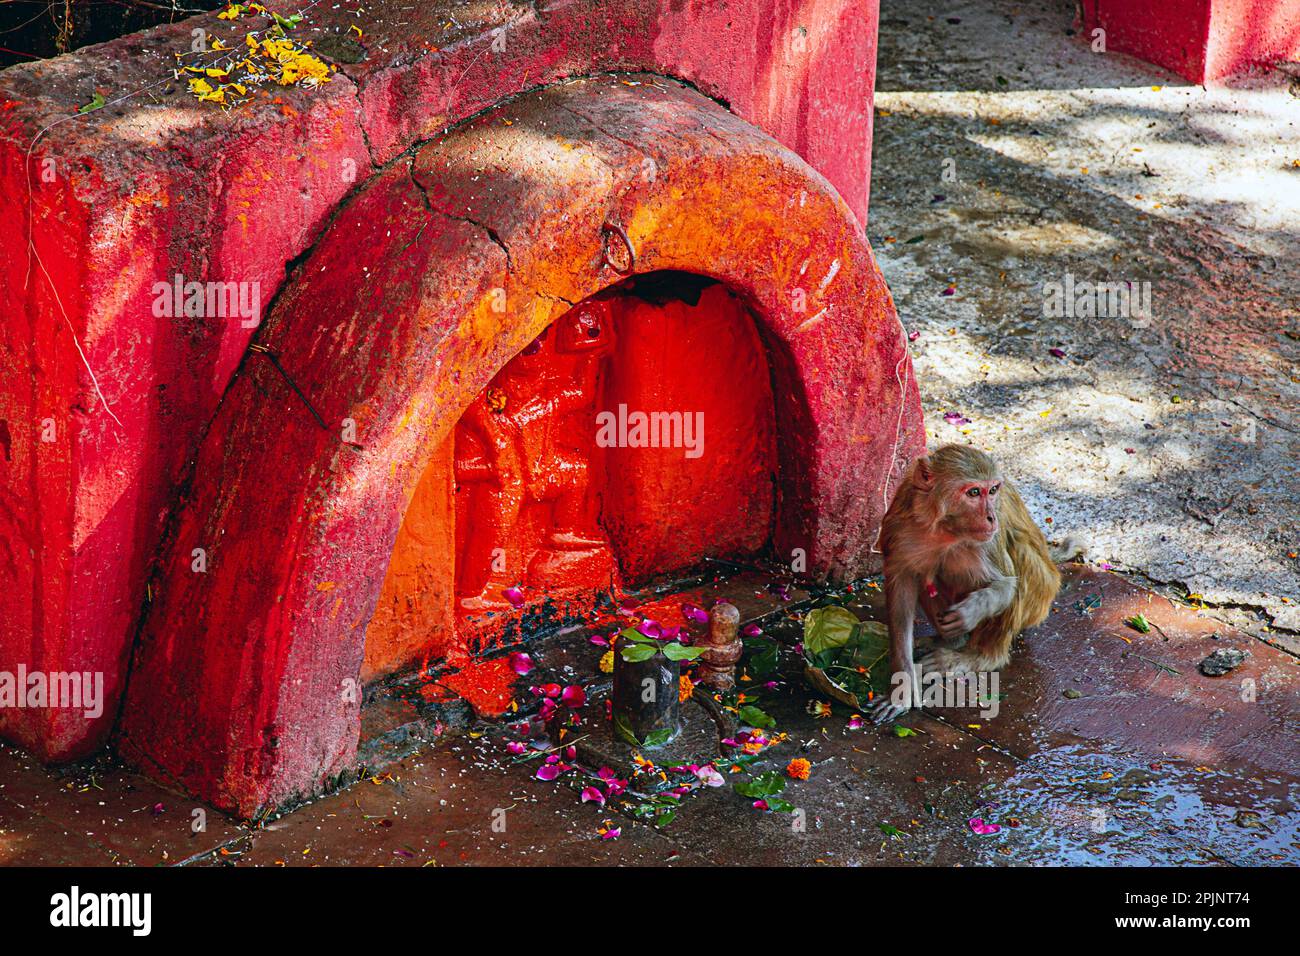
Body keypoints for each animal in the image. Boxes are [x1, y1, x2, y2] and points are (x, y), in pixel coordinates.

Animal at [870, 445, 1082, 724]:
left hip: (1040, 599)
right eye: (973, 492)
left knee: (1018, 551)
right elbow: (902, 590)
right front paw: (901, 689)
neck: (945, 530)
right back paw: (951, 642)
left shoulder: (989, 543)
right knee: (928, 573)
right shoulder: (898, 527)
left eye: (992, 490)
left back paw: (981, 657)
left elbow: (1006, 586)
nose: (992, 518)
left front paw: (969, 613)